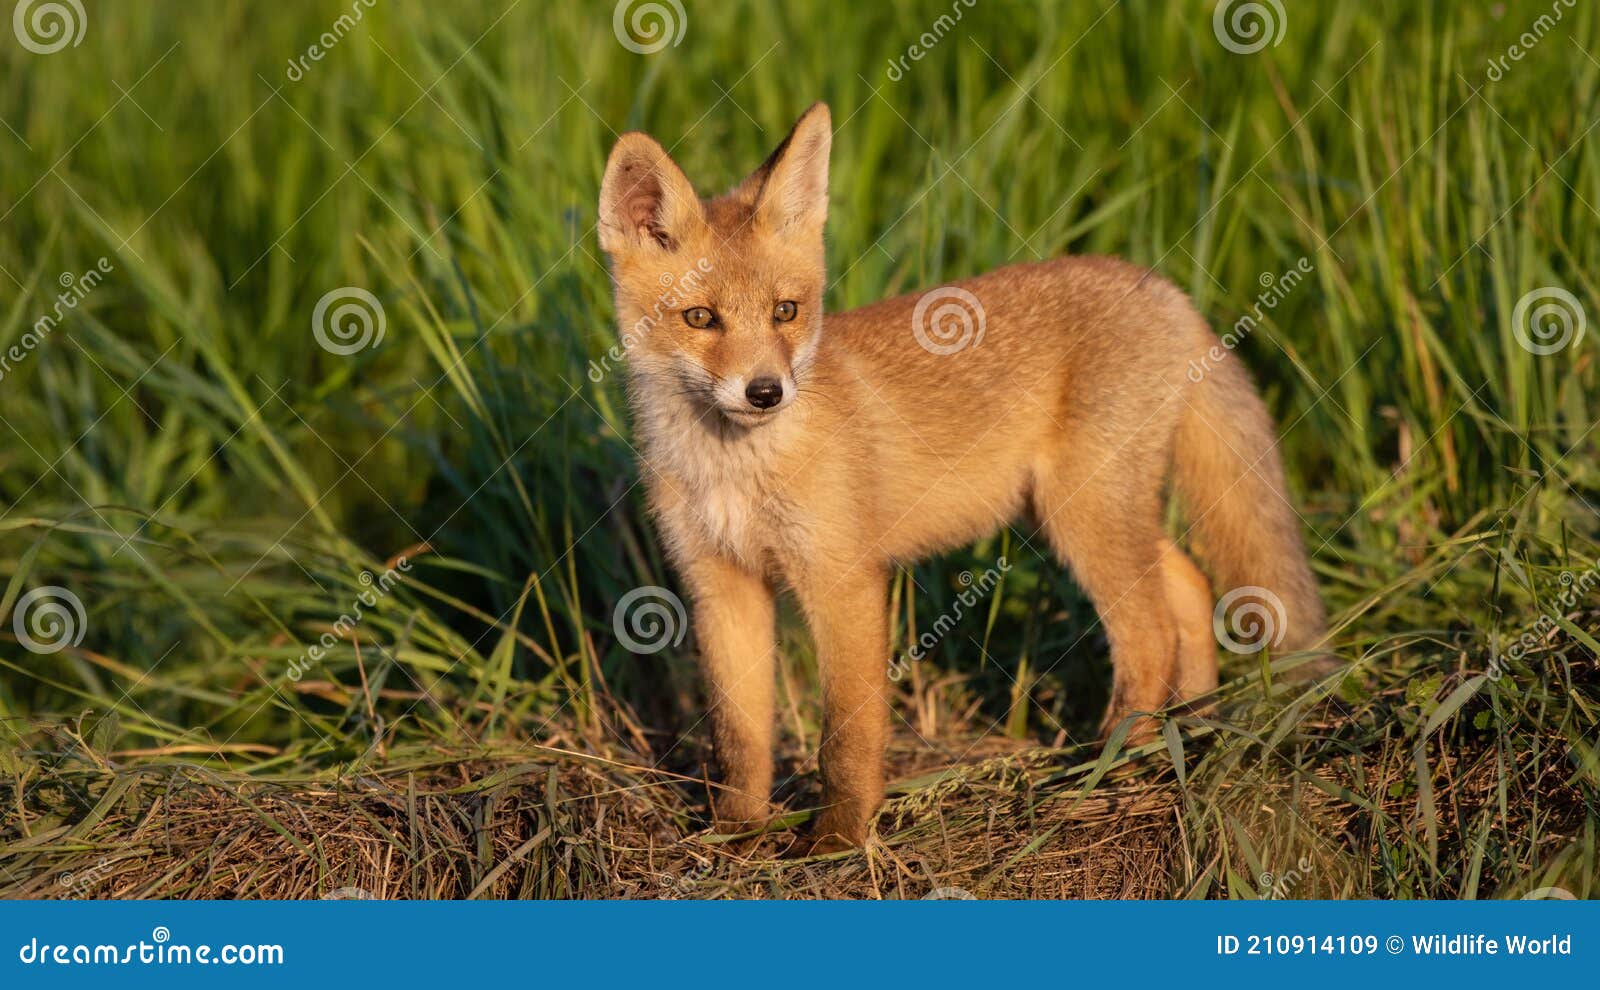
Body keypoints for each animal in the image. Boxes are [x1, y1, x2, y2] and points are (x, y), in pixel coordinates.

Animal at [597, 103, 1328, 852]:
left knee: (1152, 631)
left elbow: (845, 737)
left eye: (785, 311)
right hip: (1075, 509)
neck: (734, 469)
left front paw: (839, 839)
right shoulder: (720, 585)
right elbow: (737, 736)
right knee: (1189, 584)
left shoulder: (843, 581)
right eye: (700, 318)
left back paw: (1115, 760)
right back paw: (1191, 725)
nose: (767, 392)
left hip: (1080, 512)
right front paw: (736, 836)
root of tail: (1161, 286)